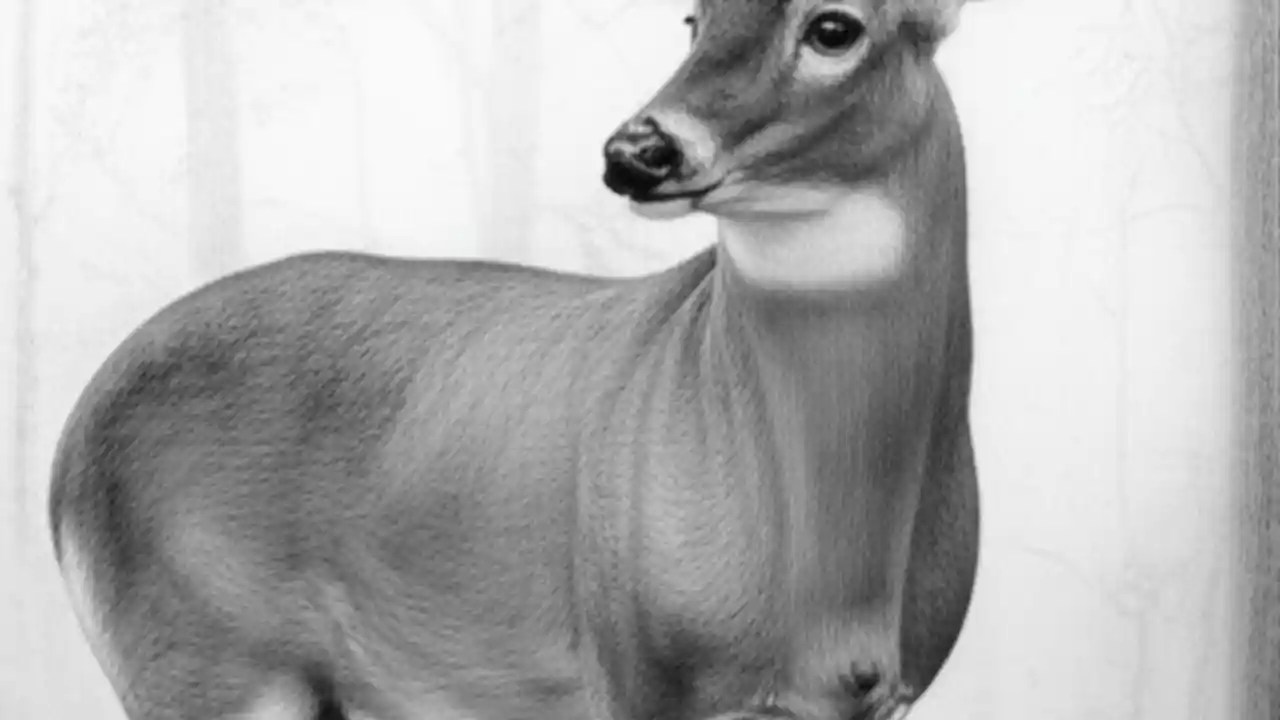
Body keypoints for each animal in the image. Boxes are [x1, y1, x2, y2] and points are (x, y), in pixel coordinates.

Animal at [48, 0, 981, 718]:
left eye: (834, 27)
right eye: (694, 18)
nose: (636, 152)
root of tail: (65, 457)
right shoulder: (637, 666)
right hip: (202, 648)